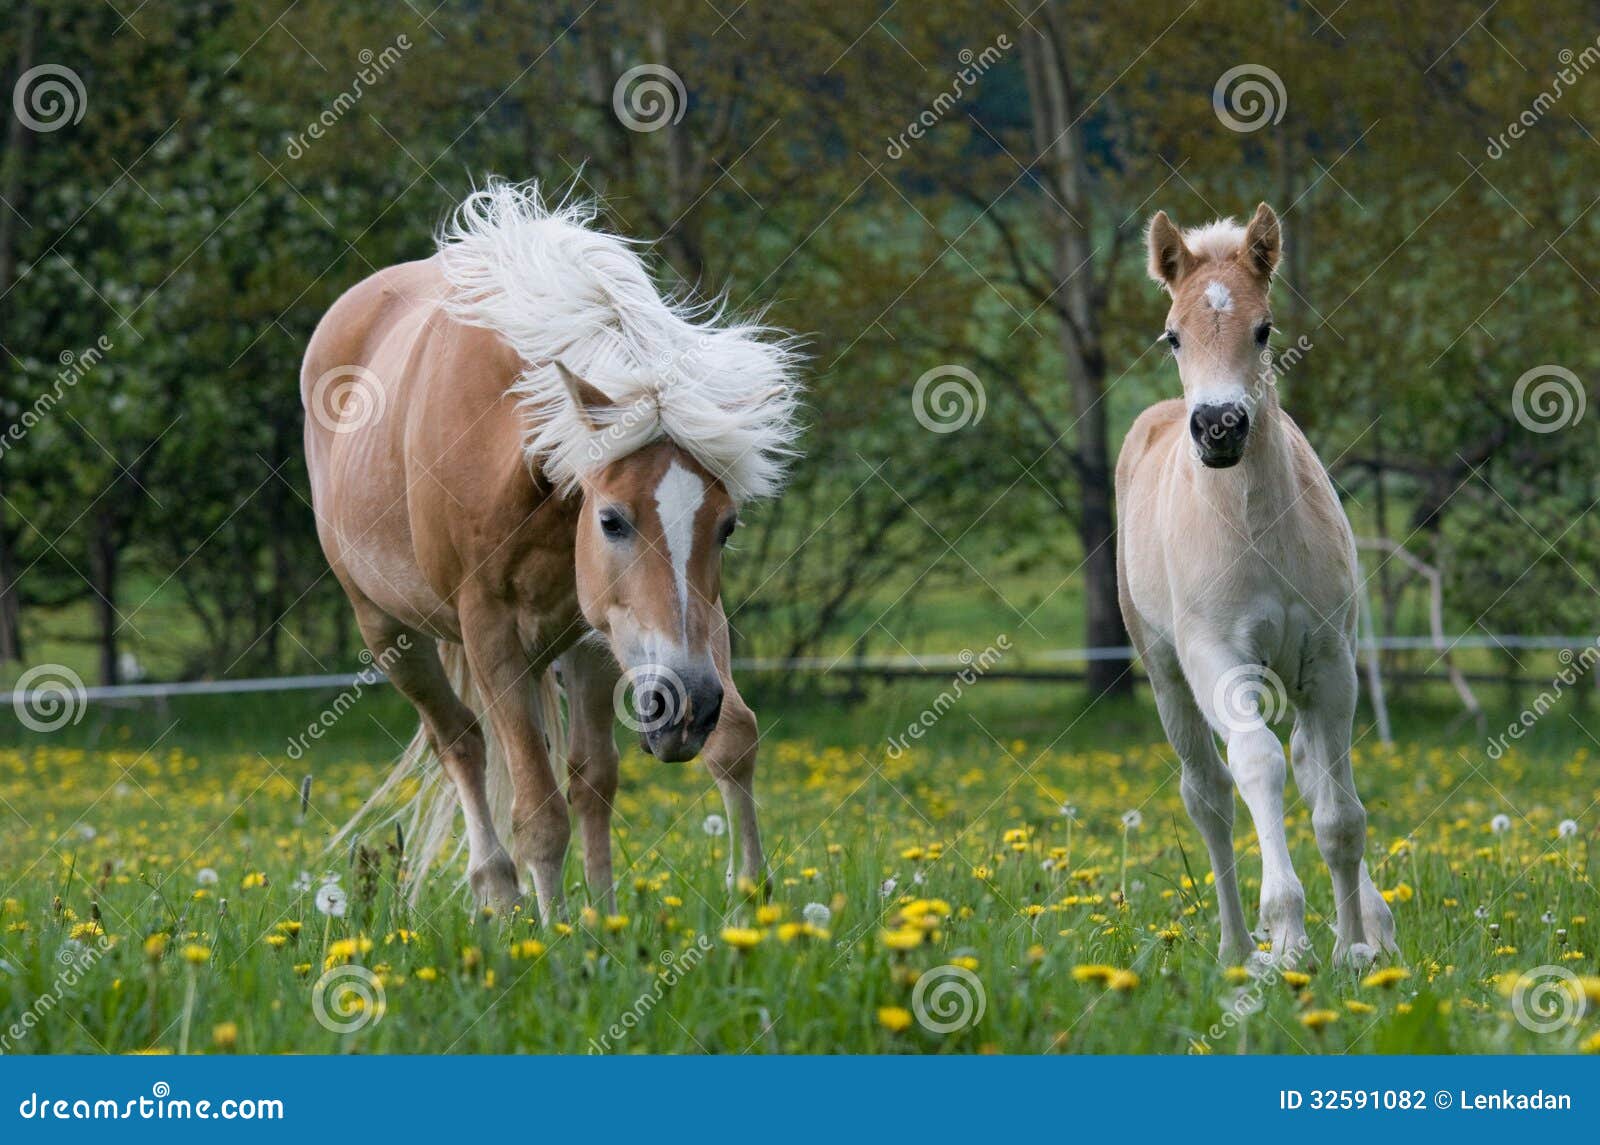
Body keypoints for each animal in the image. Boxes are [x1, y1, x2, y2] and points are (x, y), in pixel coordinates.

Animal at [301, 182, 801, 921]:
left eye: (727, 527)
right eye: (613, 520)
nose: (684, 706)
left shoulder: (626, 630)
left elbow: (727, 742)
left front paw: (744, 902)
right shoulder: (491, 632)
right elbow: (537, 811)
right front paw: (555, 937)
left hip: (588, 648)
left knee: (589, 777)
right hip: (390, 630)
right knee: (462, 744)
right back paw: (499, 893)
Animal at [1115, 203, 1396, 968]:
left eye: (1263, 328)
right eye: (1173, 335)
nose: (1219, 427)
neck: (1254, 526)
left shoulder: (1331, 664)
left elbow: (1338, 813)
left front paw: (1352, 949)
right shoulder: (1217, 659)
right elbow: (1256, 765)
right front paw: (1290, 934)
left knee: (1307, 766)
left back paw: (1370, 925)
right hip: (1166, 676)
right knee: (1209, 794)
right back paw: (1238, 949)